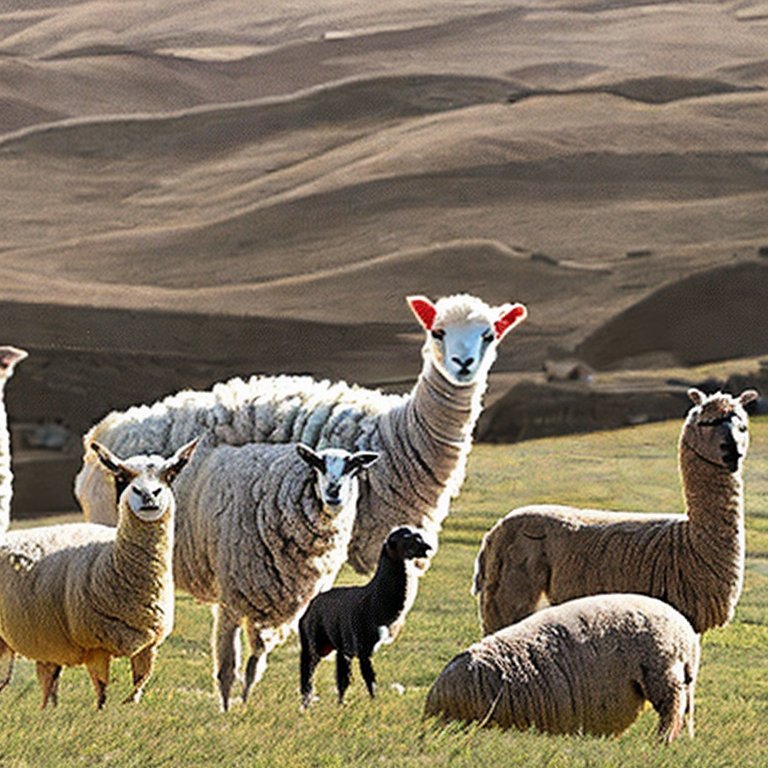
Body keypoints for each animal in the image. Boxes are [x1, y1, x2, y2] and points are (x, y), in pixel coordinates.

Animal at [0, 439, 197, 709]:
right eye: (121, 476)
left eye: (170, 475)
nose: (148, 495)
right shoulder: (96, 646)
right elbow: (102, 694)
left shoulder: (148, 645)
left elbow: (138, 688)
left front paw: (129, 706)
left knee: (44, 682)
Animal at [172, 441, 379, 712]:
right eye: (317, 465)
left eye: (353, 467)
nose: (333, 493)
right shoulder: (230, 599)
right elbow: (227, 668)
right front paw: (225, 710)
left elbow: (254, 665)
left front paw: (245, 702)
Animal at [299, 525, 431, 708]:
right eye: (406, 539)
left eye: (419, 537)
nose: (426, 548)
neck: (375, 604)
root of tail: (310, 606)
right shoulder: (363, 646)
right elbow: (369, 678)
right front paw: (374, 702)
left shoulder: (358, 647)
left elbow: (356, 678)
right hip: (315, 642)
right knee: (308, 670)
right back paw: (307, 703)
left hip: (337, 645)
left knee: (340, 676)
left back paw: (338, 703)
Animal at [473, 388, 757, 635]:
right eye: (707, 423)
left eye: (742, 426)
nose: (732, 451)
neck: (688, 540)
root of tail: (494, 531)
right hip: (512, 591)